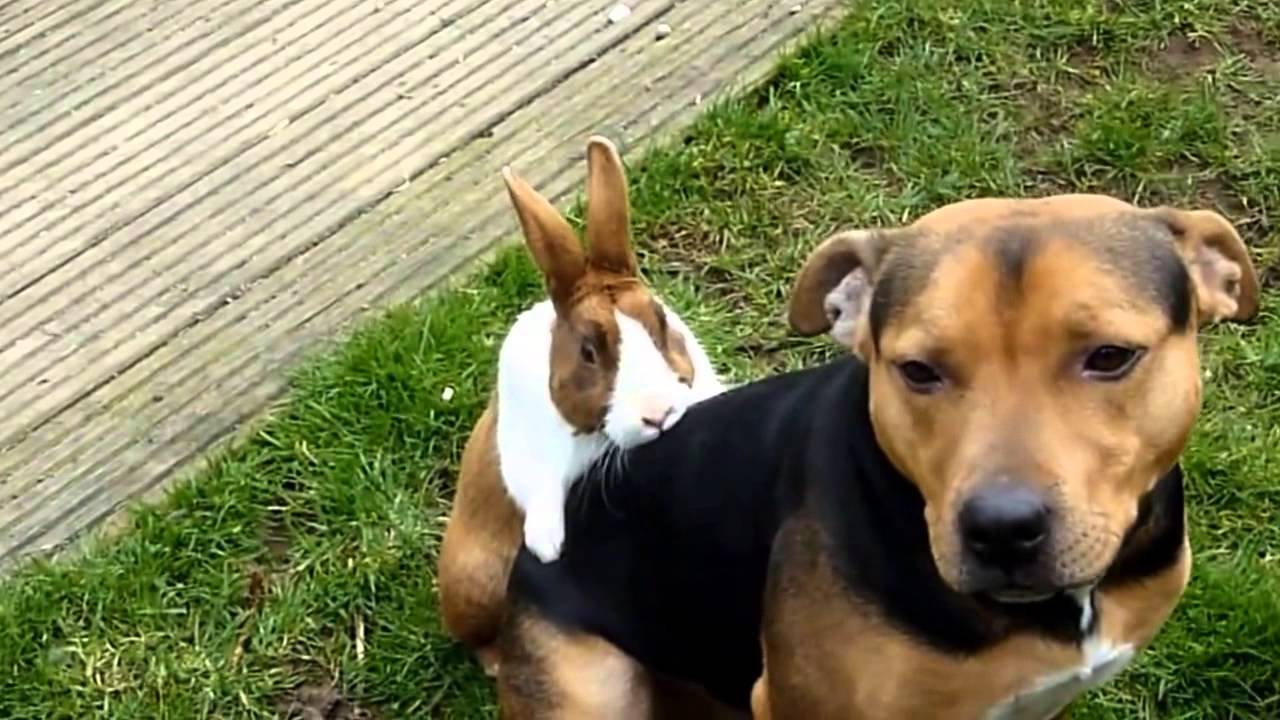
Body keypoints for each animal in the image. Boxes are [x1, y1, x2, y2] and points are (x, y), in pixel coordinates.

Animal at [437, 135, 724, 675]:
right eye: (590, 352)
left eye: (660, 323)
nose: (658, 415)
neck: (596, 440)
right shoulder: (529, 457)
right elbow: (540, 485)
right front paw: (547, 546)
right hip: (471, 584)